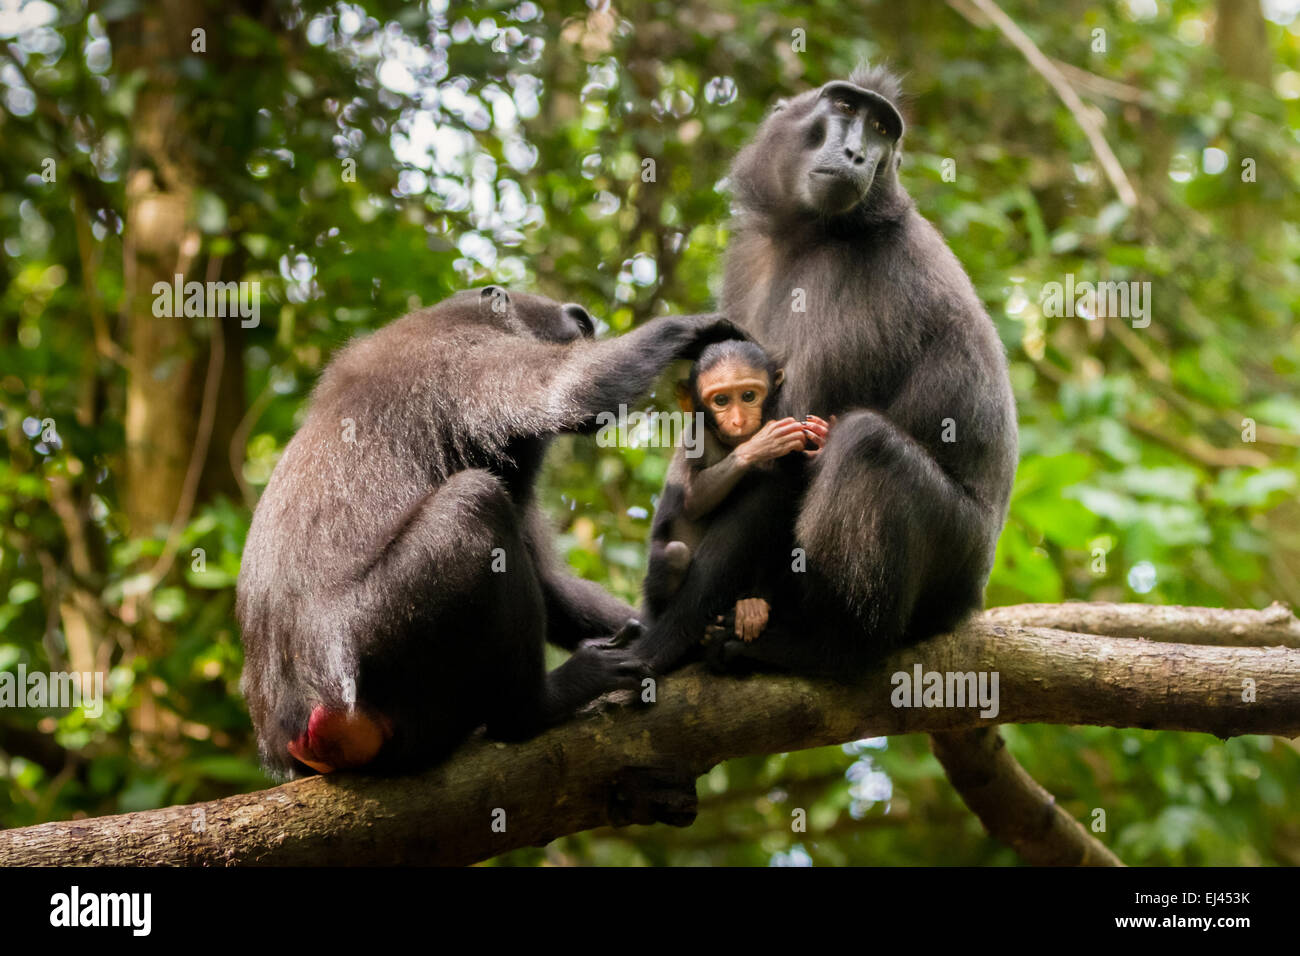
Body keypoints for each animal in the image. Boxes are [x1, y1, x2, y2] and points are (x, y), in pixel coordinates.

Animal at [236, 286, 745, 777]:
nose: (579, 318)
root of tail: (302, 728)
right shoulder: (470, 353)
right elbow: (571, 391)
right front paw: (692, 327)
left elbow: (546, 581)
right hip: (373, 645)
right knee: (474, 502)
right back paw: (537, 707)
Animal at [640, 340, 830, 644]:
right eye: (721, 401)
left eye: (748, 396)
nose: (739, 421)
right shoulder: (697, 436)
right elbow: (693, 501)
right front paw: (760, 444)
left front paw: (823, 436)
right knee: (675, 554)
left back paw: (750, 607)